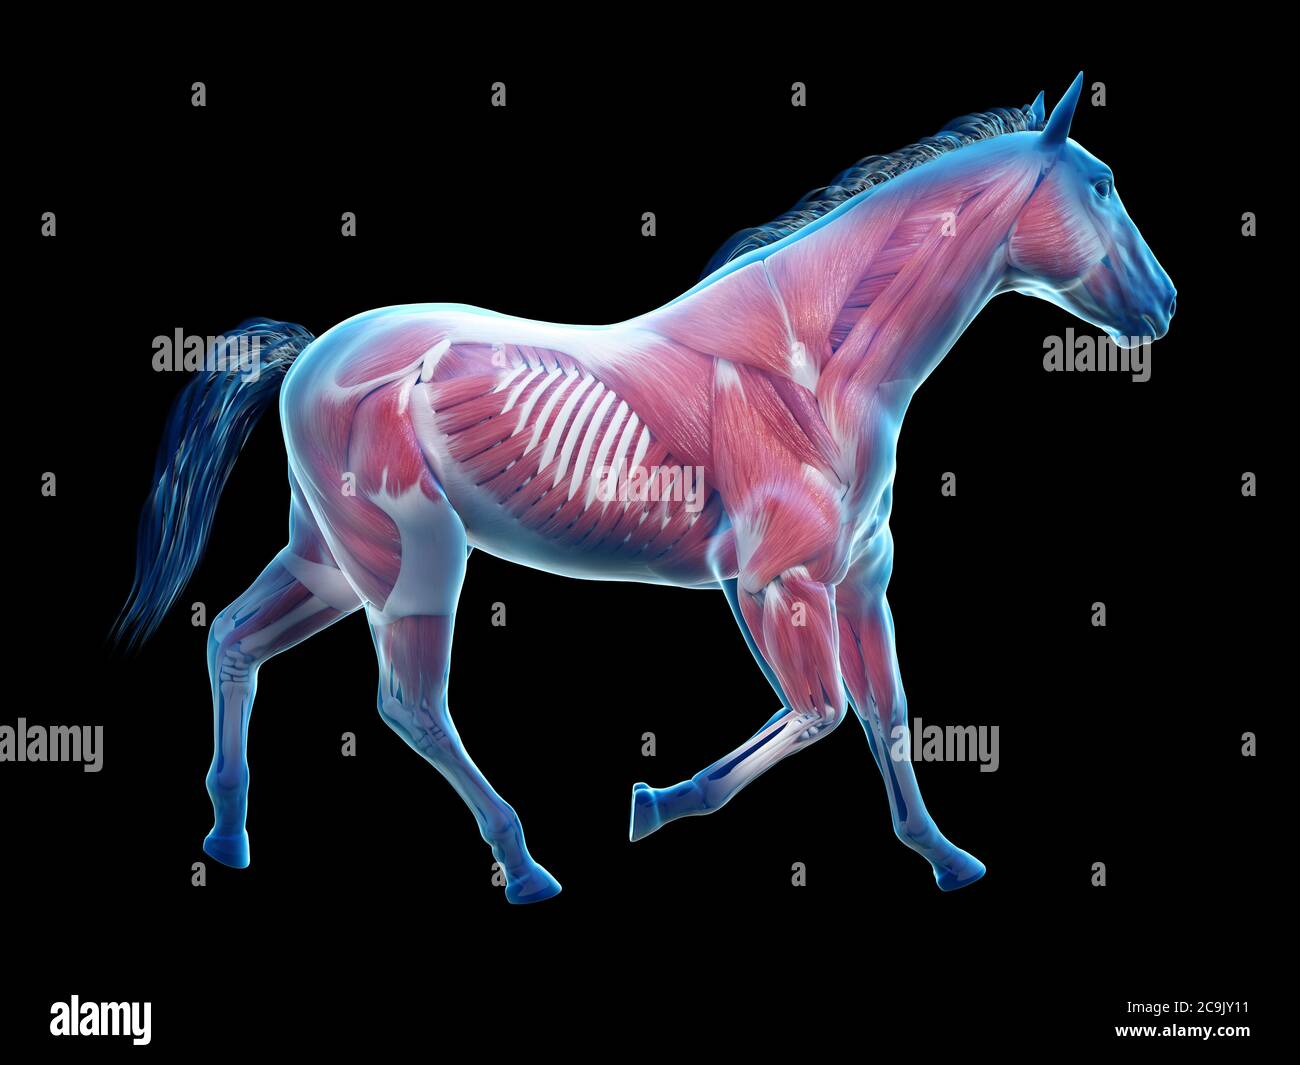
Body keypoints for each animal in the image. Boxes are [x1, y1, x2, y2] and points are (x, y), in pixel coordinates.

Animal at [115, 73, 1175, 902]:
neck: (807, 371)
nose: (1164, 304)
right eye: (1103, 185)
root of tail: (307, 355)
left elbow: (886, 713)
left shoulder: (857, 580)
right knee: (408, 704)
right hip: (409, 561)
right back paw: (525, 866)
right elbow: (822, 713)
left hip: (331, 558)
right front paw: (654, 804)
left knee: (233, 638)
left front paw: (947, 859)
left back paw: (227, 837)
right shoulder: (776, 583)